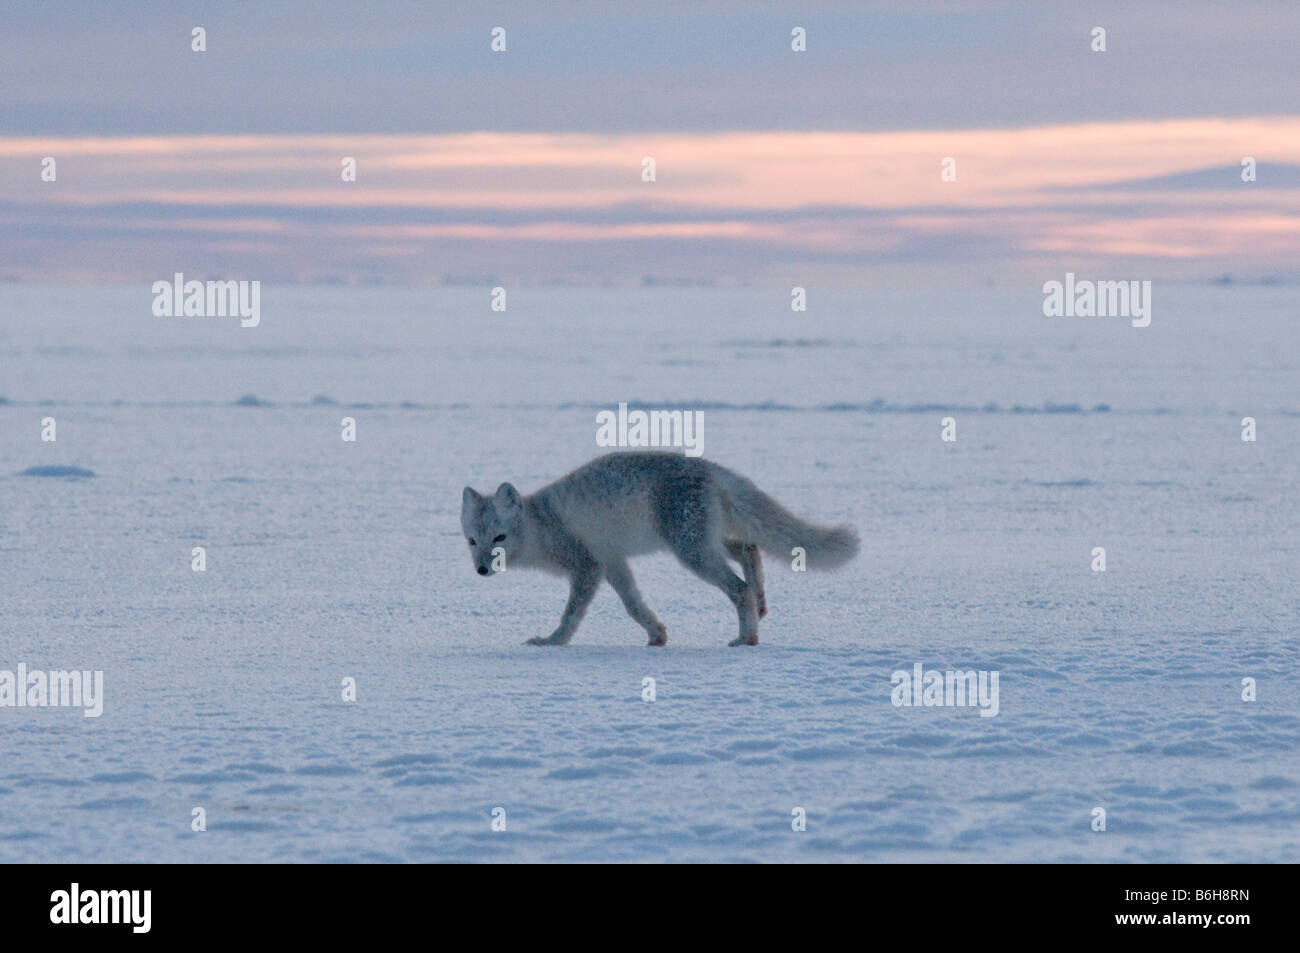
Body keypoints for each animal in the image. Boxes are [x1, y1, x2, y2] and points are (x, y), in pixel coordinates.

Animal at [461, 452, 858, 647]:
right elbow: (633, 604)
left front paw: (551, 642)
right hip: (706, 540)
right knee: (749, 548)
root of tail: (711, 469)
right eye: (472, 541)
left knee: (739, 586)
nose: (481, 570)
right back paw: (760, 605)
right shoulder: (613, 563)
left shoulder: (588, 566)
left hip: (691, 551)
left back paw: (746, 638)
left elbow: (571, 616)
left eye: (499, 538)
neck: (540, 524)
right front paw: (656, 635)